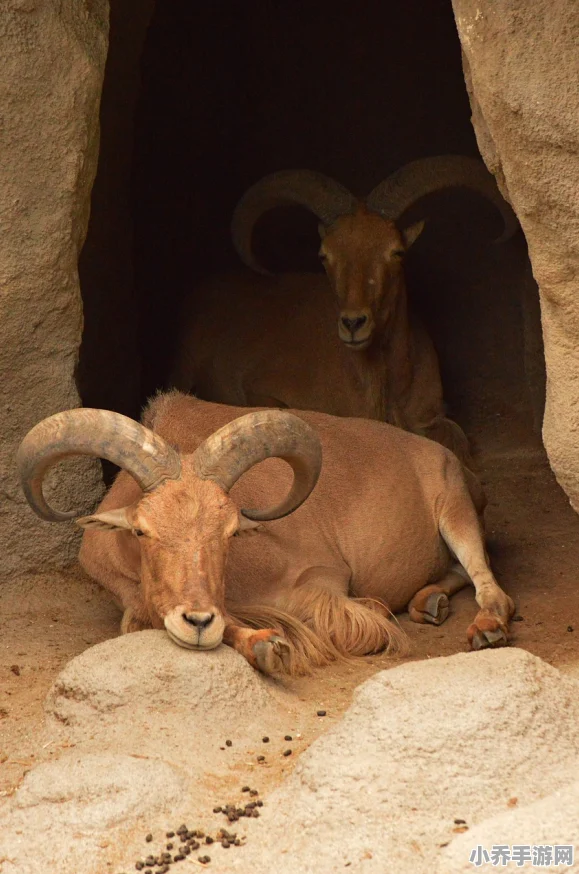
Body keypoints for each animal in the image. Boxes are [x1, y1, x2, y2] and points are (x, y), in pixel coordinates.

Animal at [18, 390, 516, 676]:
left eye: (230, 532)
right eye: (142, 531)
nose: (197, 619)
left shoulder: (322, 577)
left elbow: (349, 622)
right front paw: (260, 643)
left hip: (455, 508)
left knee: (488, 582)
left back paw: (486, 627)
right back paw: (427, 601)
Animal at [171, 157, 516, 470]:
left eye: (397, 252)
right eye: (325, 254)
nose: (353, 323)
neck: (378, 380)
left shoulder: (432, 414)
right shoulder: (263, 389)